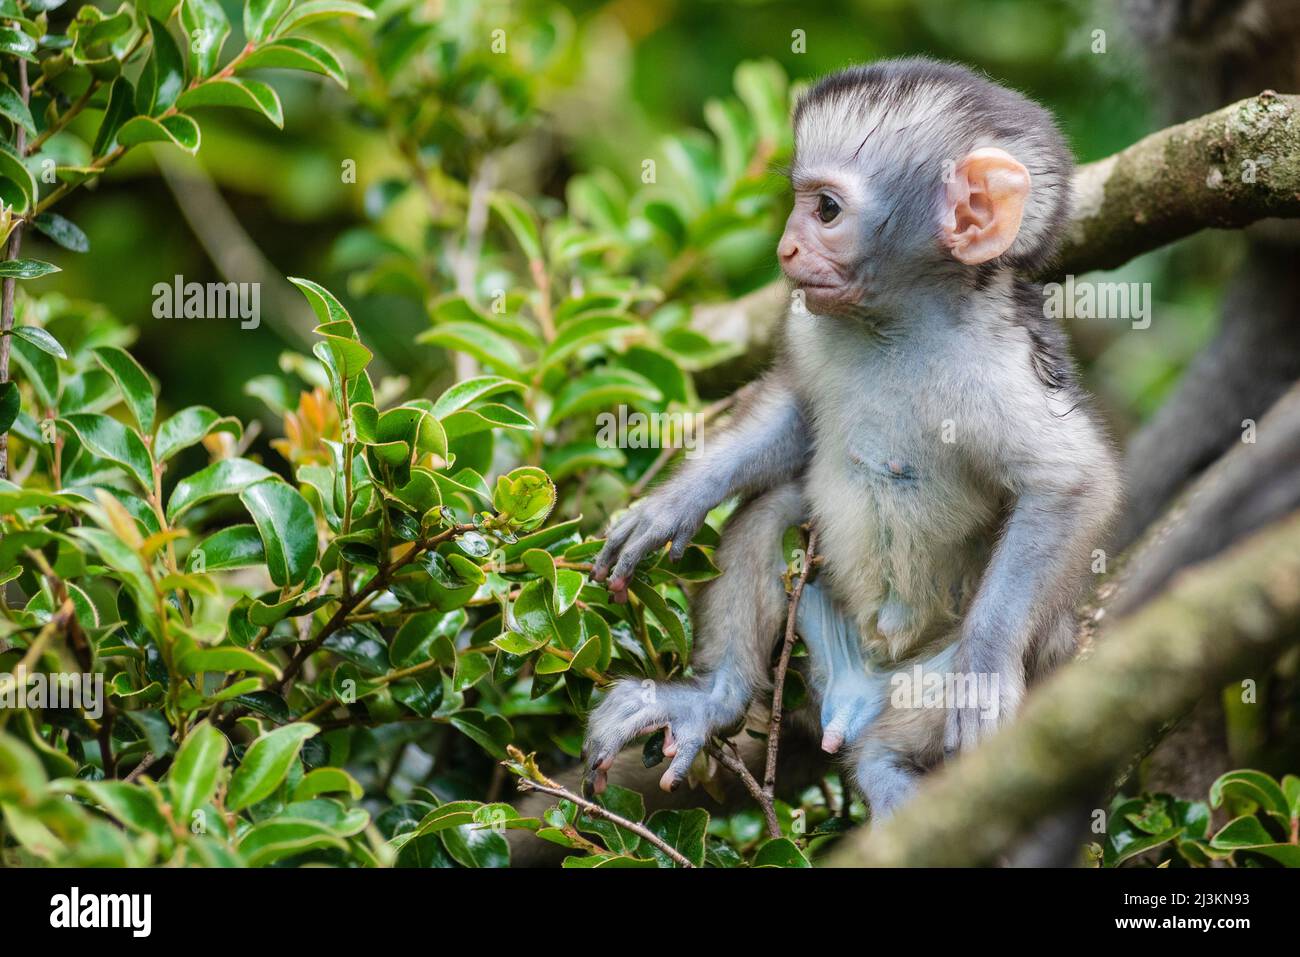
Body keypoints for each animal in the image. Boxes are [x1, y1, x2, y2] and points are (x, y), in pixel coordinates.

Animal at [582, 58, 1121, 821]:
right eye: (800, 202)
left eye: (827, 210)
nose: (787, 247)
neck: (896, 324)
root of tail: (855, 693)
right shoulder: (811, 322)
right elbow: (795, 419)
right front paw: (675, 503)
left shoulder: (997, 370)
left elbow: (1071, 483)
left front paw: (985, 667)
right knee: (771, 512)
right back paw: (712, 699)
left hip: (932, 677)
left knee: (935, 706)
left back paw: (890, 771)